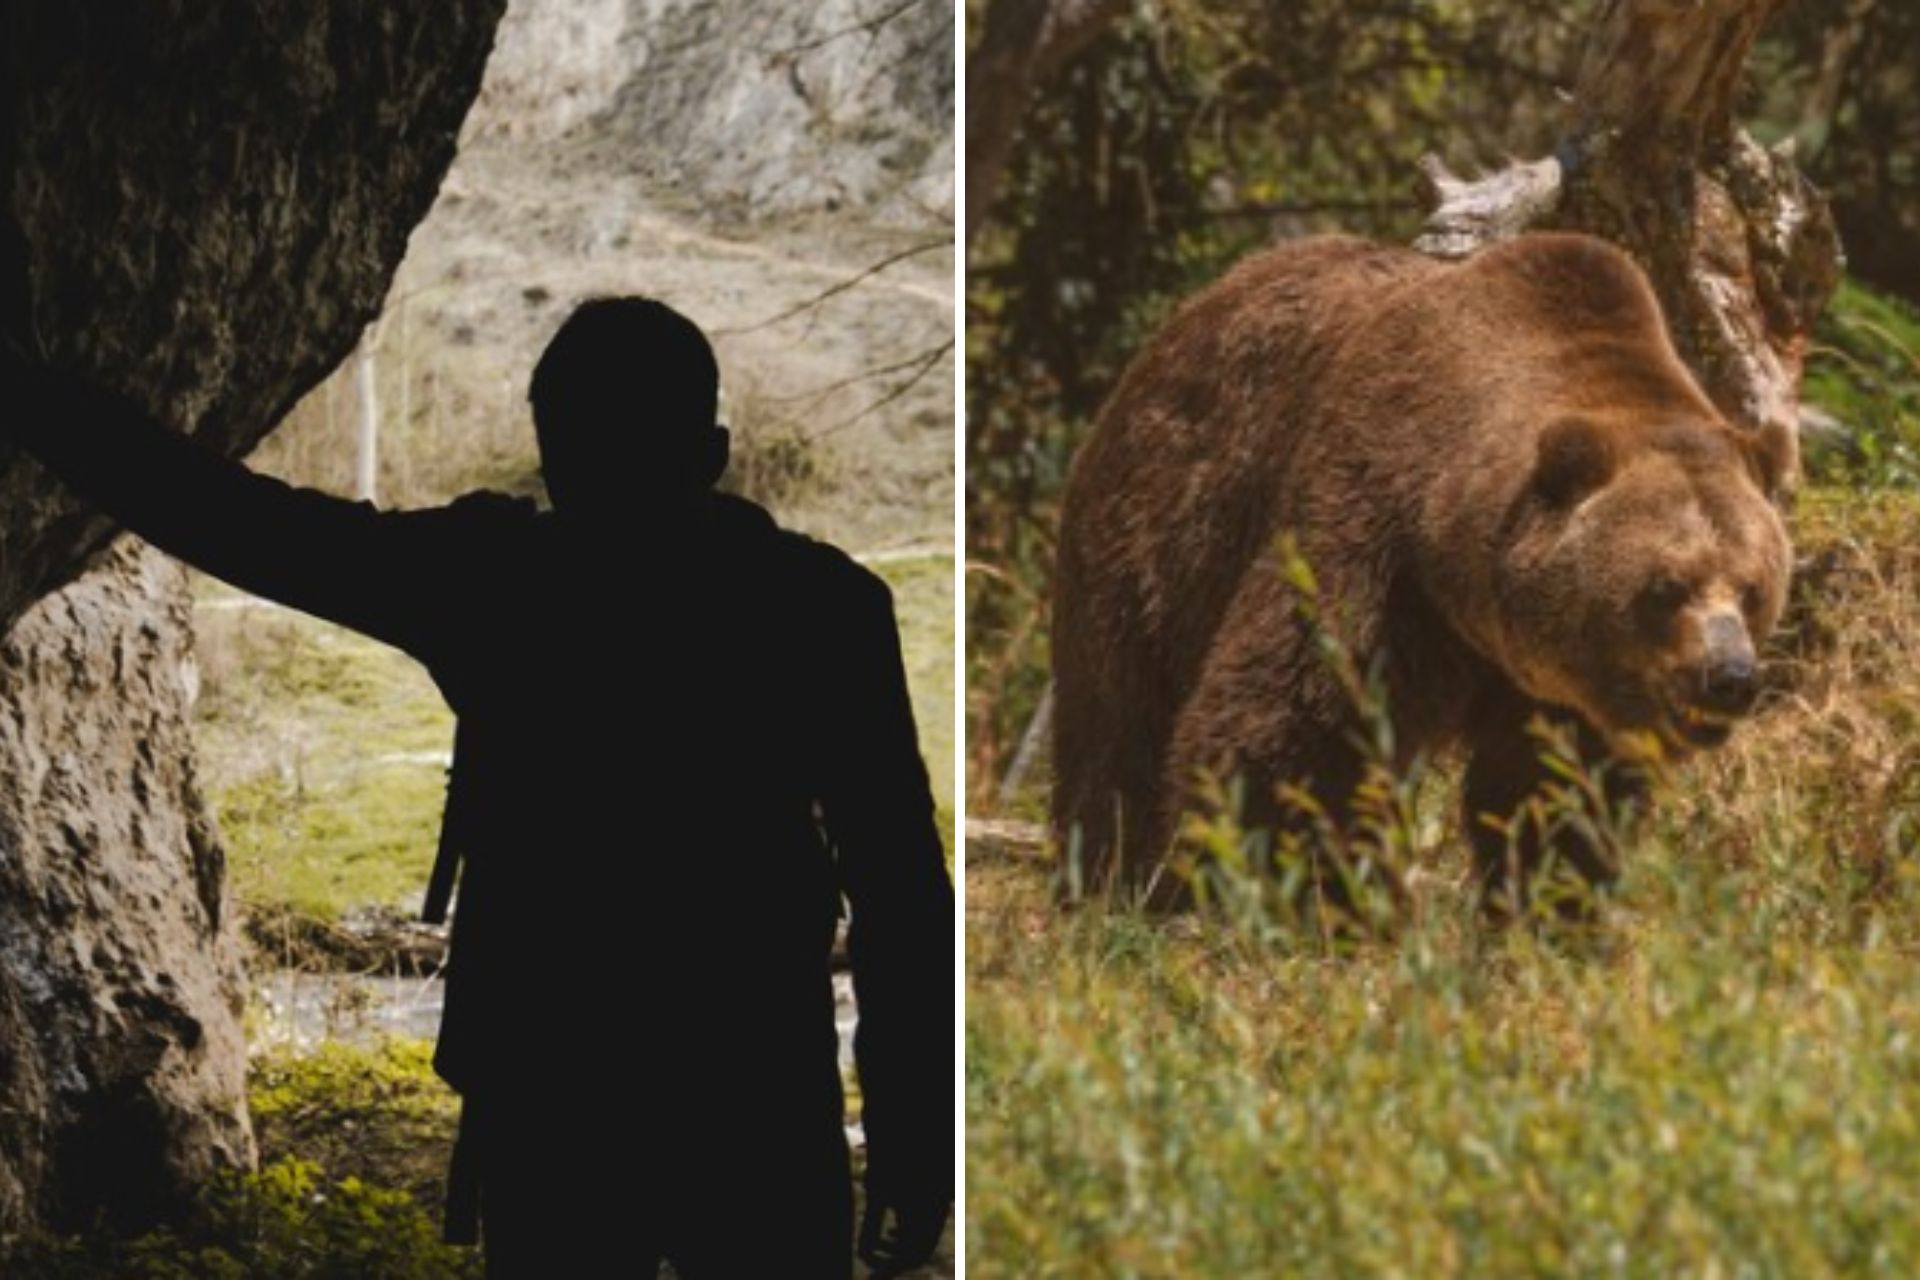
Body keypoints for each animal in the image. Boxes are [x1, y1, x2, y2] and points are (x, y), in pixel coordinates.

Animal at [1050, 231, 1794, 914]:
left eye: (1754, 589)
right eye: (1666, 587)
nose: (1728, 676)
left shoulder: (1554, 692)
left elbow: (1549, 796)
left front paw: (1553, 908)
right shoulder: (1375, 553)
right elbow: (1301, 733)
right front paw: (1314, 901)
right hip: (1157, 544)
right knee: (1118, 734)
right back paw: (1112, 891)